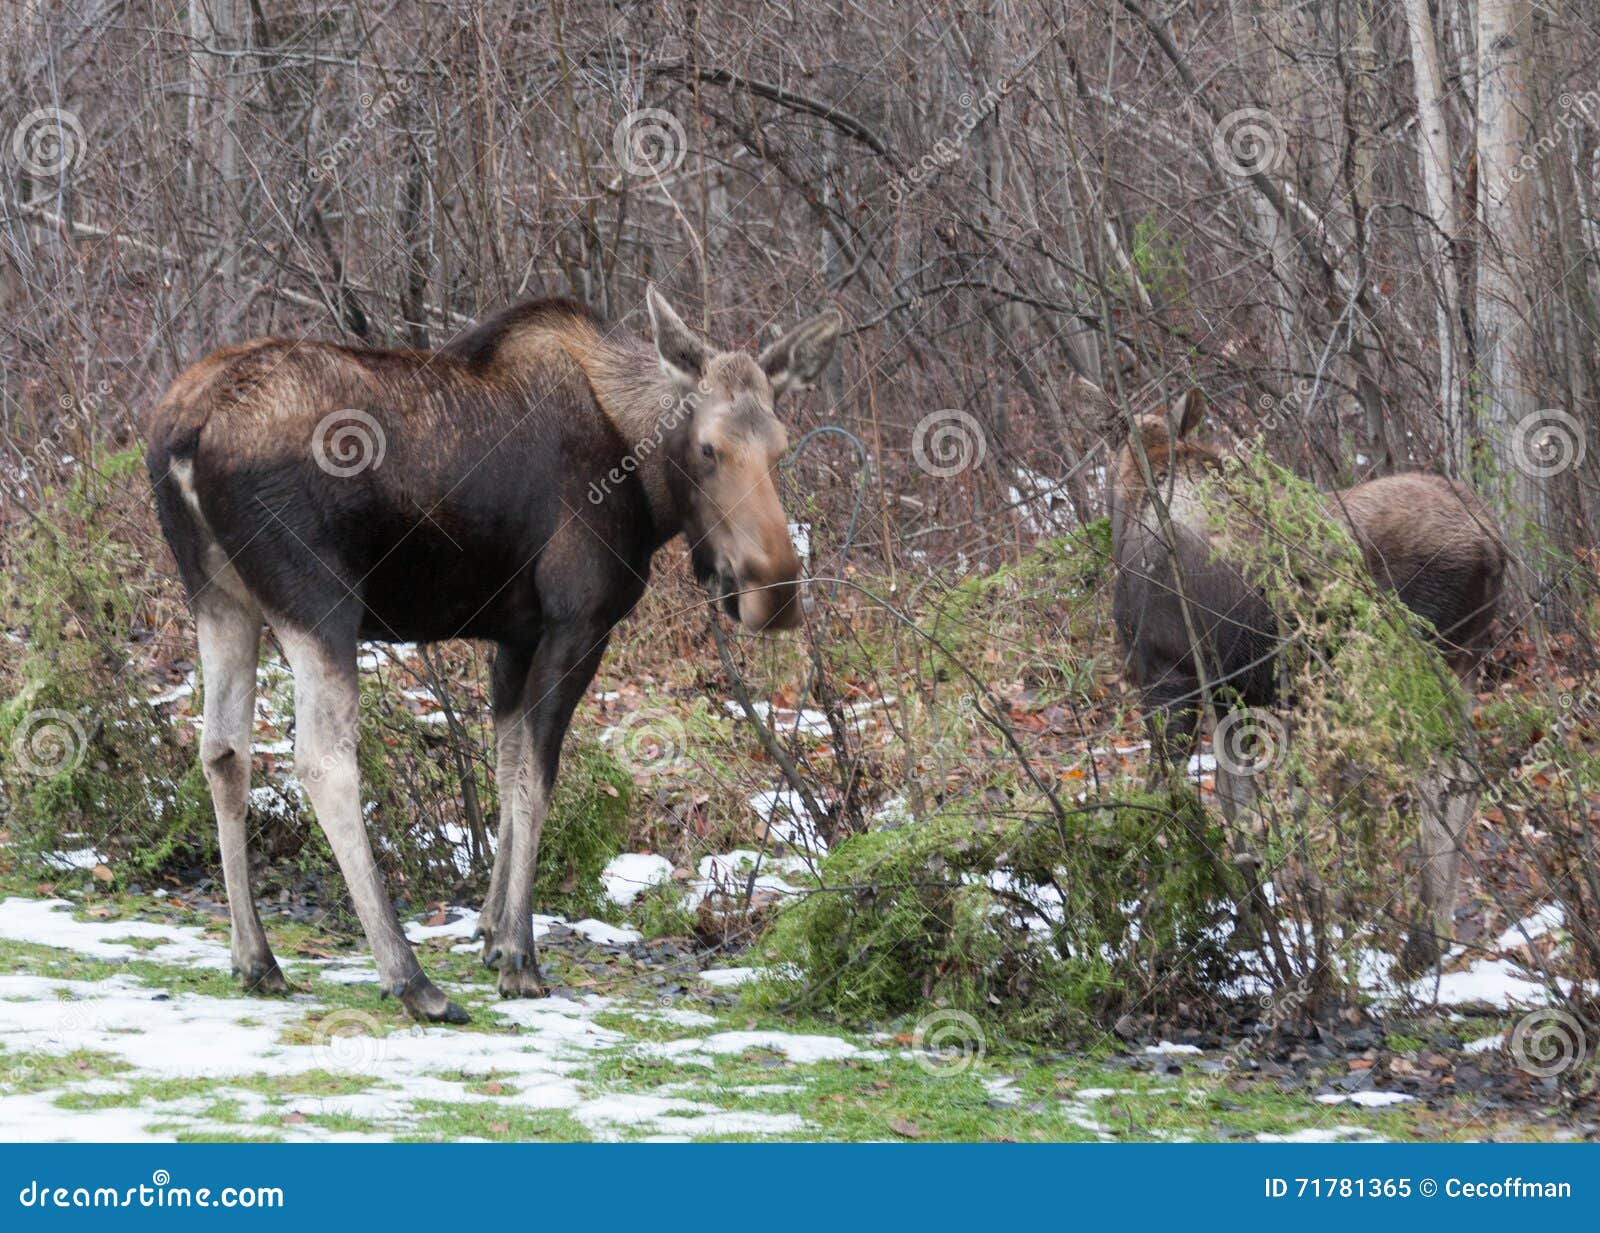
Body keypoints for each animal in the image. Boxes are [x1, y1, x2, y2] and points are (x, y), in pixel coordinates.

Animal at [146, 287, 843, 1022]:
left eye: (780, 447)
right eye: (709, 448)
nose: (776, 589)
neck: (646, 487)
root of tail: (184, 434)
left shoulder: (515, 637)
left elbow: (506, 768)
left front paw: (490, 930)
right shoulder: (577, 622)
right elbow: (537, 776)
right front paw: (520, 957)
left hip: (220, 598)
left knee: (223, 750)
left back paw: (257, 958)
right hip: (319, 602)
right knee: (323, 761)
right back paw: (410, 977)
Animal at [1108, 390, 1506, 967]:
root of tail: (1494, 546)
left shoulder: (1168, 678)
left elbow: (1166, 799)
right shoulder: (1231, 694)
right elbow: (1235, 802)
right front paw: (1250, 925)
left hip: (1413, 666)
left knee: (1439, 781)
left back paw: (1421, 941)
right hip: (1463, 664)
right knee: (1466, 777)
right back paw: (1432, 932)